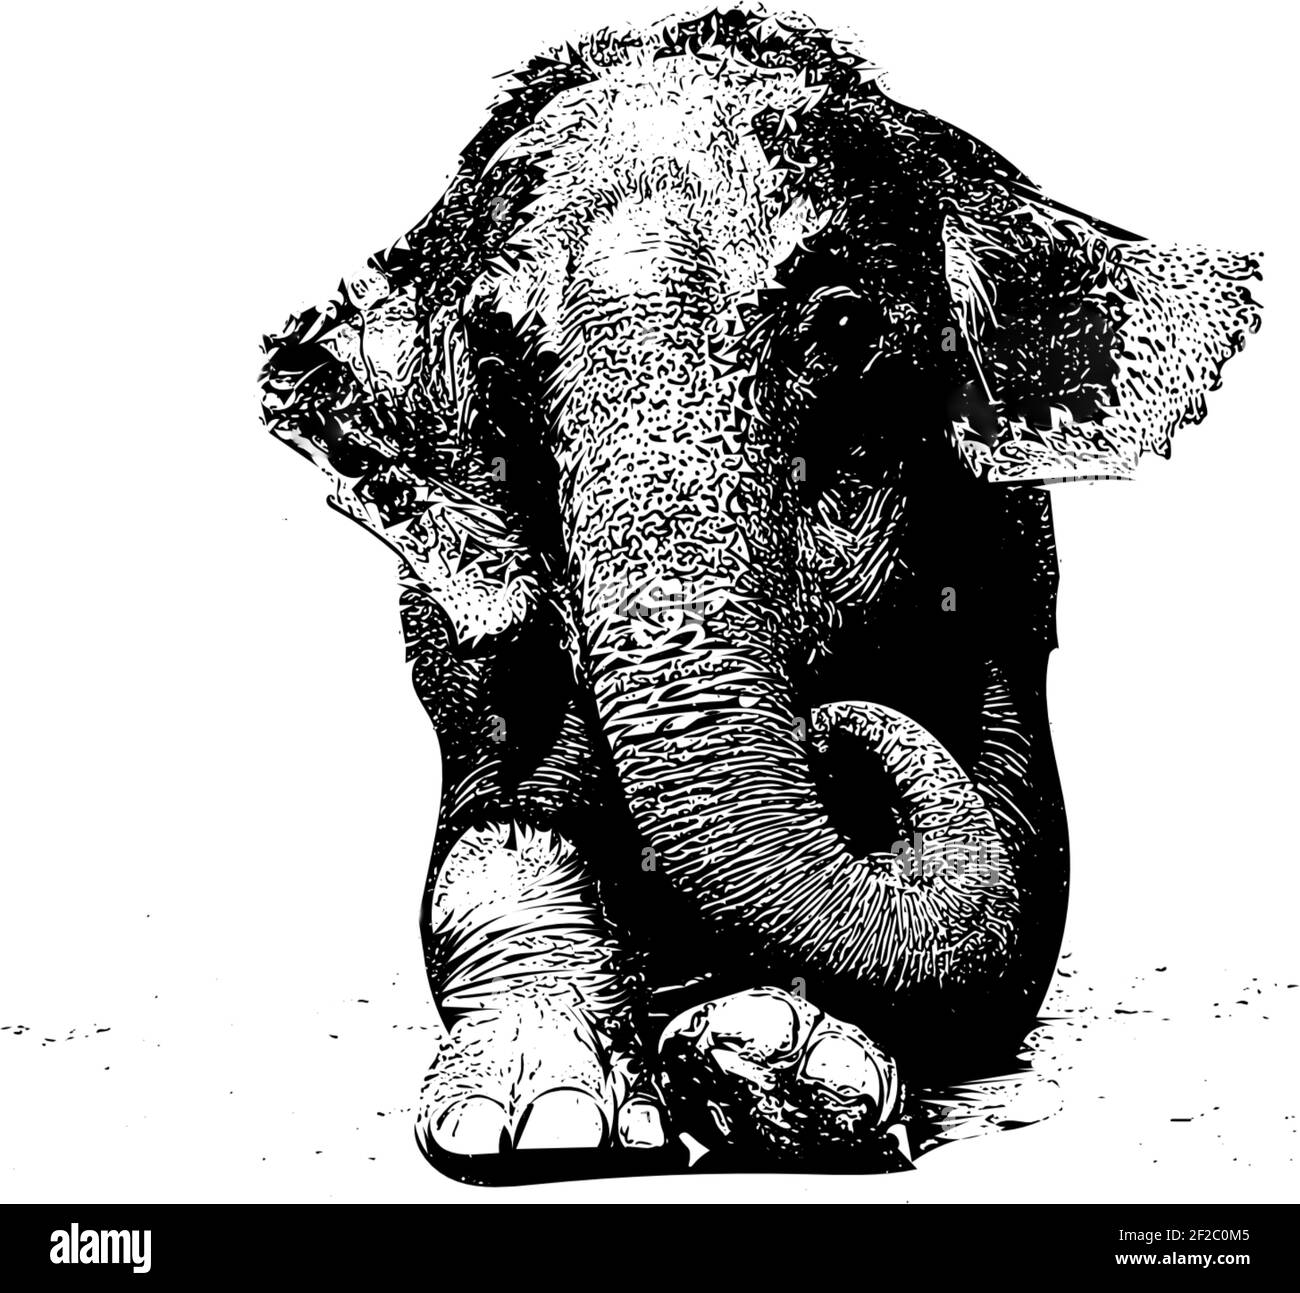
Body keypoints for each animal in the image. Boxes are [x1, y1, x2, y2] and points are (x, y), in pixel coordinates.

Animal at [259, 9, 1260, 1179]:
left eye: (839, 326)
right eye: (499, 359)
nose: (829, 726)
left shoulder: (1003, 574)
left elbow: (1015, 870)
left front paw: (767, 1061)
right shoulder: (460, 615)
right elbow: (491, 836)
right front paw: (545, 1121)